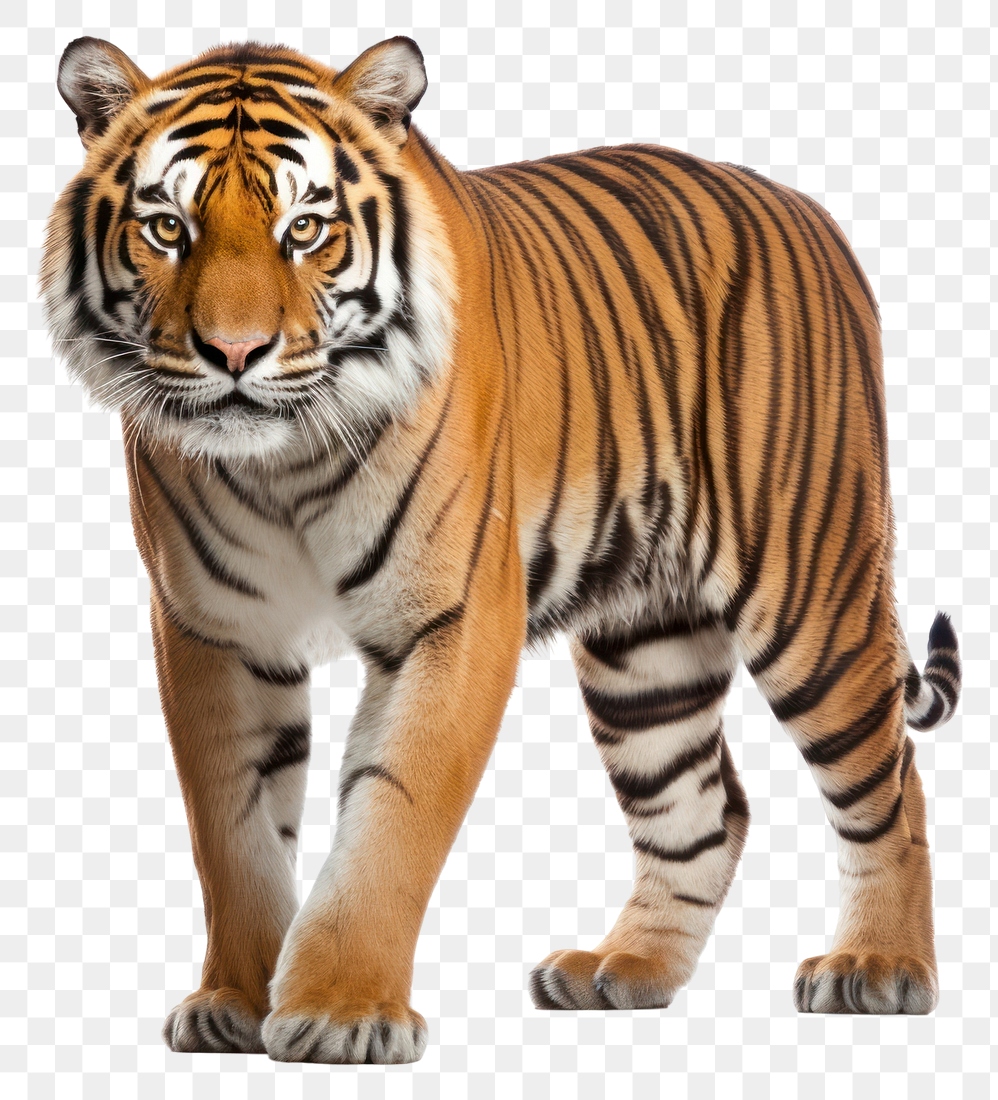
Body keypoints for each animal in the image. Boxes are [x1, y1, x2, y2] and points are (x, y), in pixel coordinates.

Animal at [42, 35, 961, 1064]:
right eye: (167, 227)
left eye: (305, 228)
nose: (234, 354)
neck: (284, 462)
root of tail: (808, 208)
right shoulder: (211, 629)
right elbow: (232, 831)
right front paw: (234, 1000)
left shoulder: (454, 619)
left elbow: (393, 816)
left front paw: (343, 1011)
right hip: (647, 649)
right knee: (705, 808)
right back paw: (623, 970)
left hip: (811, 594)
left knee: (891, 785)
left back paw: (880, 967)